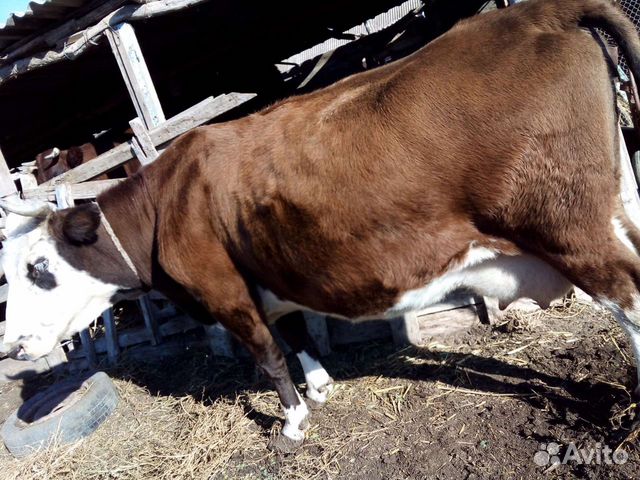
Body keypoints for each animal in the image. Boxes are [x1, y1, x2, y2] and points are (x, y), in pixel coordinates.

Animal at [1, 0, 639, 452]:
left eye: (38, 267)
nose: (13, 346)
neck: (166, 204)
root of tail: (541, 10)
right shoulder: (267, 276)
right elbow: (296, 333)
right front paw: (322, 385)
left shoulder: (225, 290)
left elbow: (266, 353)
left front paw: (293, 422)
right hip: (611, 211)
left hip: (570, 228)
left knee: (628, 296)